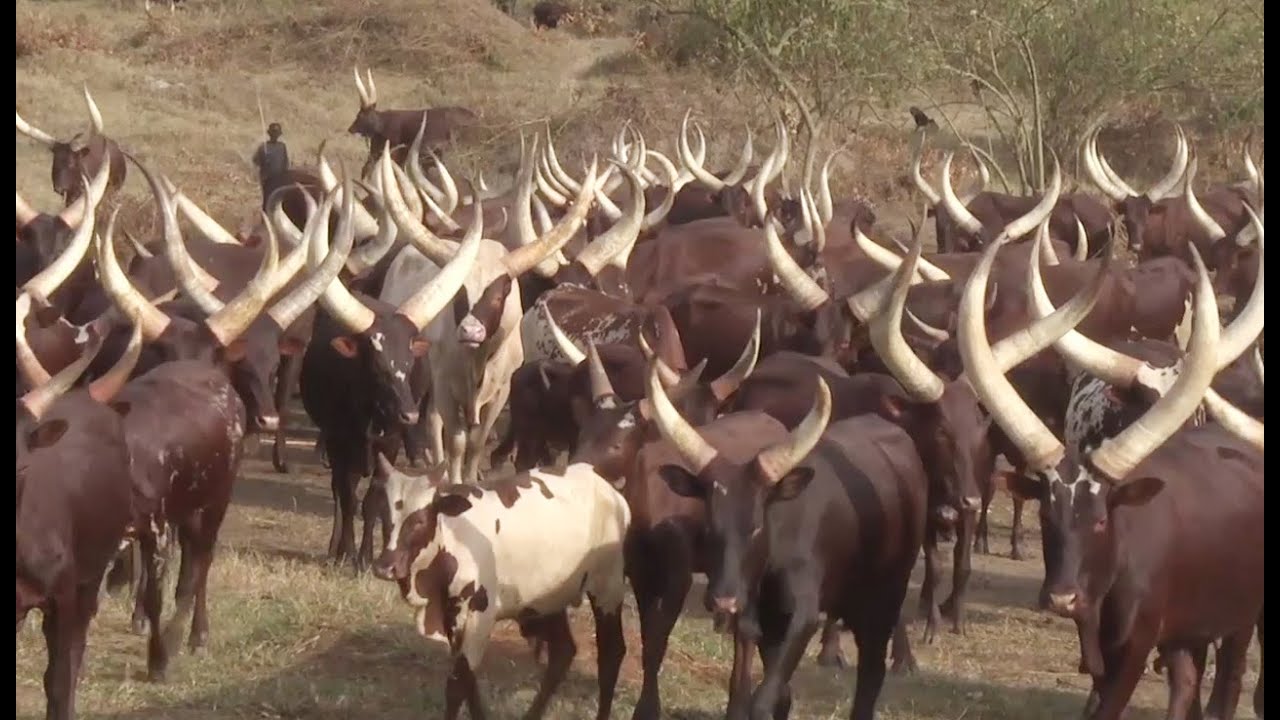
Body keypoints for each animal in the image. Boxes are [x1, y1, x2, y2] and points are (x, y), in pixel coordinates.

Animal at [370, 454, 630, 720]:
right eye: (384, 515)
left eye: (420, 520)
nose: (385, 566)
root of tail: (602, 482)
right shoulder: (452, 619)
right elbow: (469, 683)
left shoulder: (478, 617)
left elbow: (457, 685)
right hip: (547, 600)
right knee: (562, 652)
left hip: (607, 588)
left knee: (611, 654)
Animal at [644, 363, 927, 720]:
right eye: (709, 524)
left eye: (756, 527)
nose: (724, 601)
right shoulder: (757, 621)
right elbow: (772, 692)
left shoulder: (802, 616)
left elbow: (763, 700)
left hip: (883, 599)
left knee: (871, 672)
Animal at [955, 223, 1264, 720]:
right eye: (1046, 516)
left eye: (1102, 520)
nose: (1061, 597)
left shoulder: (1138, 644)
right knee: (1187, 680)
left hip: (1235, 617)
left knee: (1223, 679)